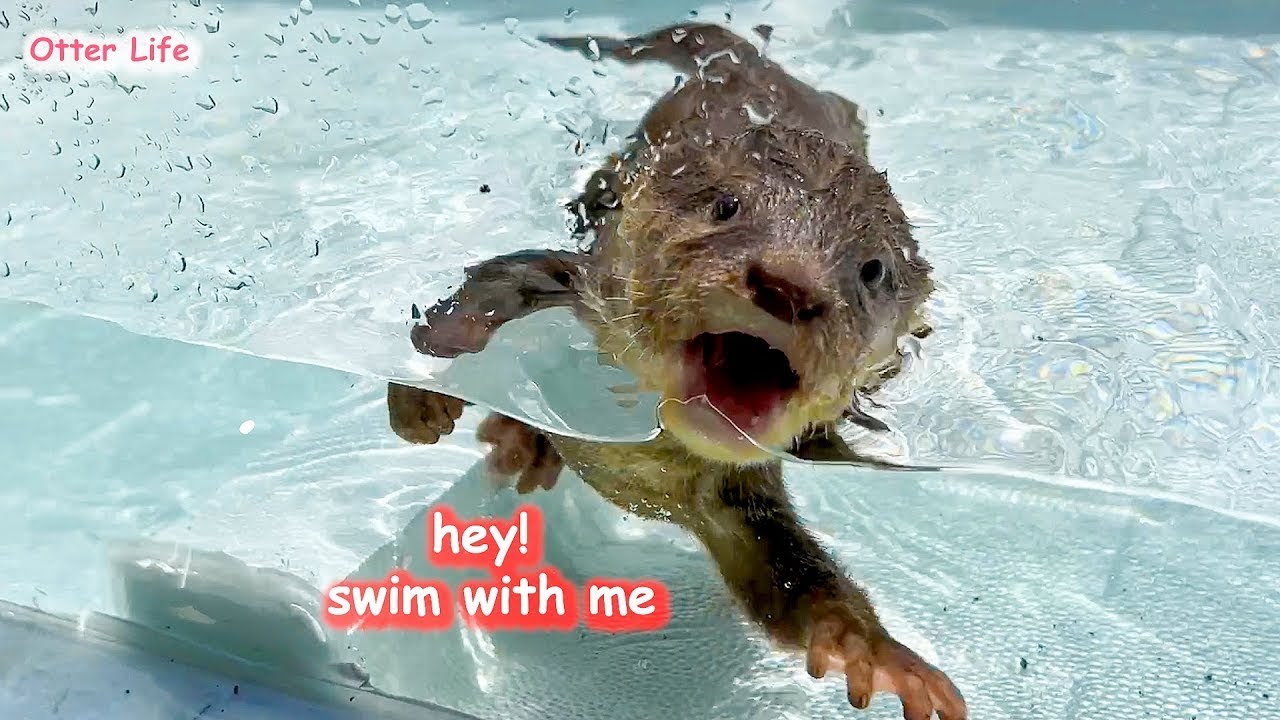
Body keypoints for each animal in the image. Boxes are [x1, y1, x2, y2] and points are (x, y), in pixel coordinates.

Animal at [386, 23, 965, 720]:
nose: (788, 285)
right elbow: (491, 290)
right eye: (727, 205)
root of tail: (756, 65)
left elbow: (793, 587)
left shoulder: (741, 502)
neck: (634, 454)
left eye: (873, 270)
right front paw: (424, 393)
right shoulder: (581, 287)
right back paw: (524, 438)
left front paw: (873, 651)